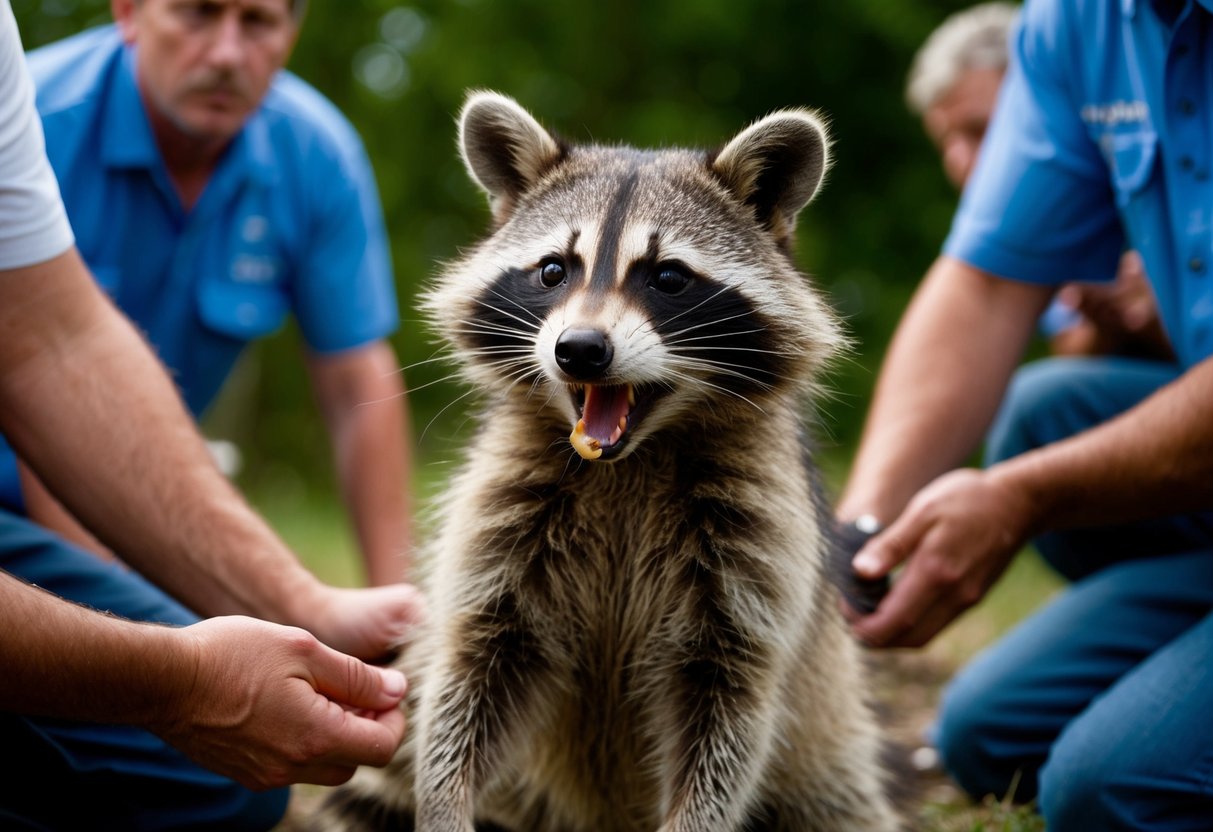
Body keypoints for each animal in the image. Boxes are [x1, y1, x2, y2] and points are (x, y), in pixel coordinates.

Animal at [316, 91, 899, 832]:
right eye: (552, 270)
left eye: (669, 277)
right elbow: (470, 679)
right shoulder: (503, 512)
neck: (626, 461)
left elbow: (727, 715)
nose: (580, 350)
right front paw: (442, 805)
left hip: (830, 765)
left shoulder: (757, 539)